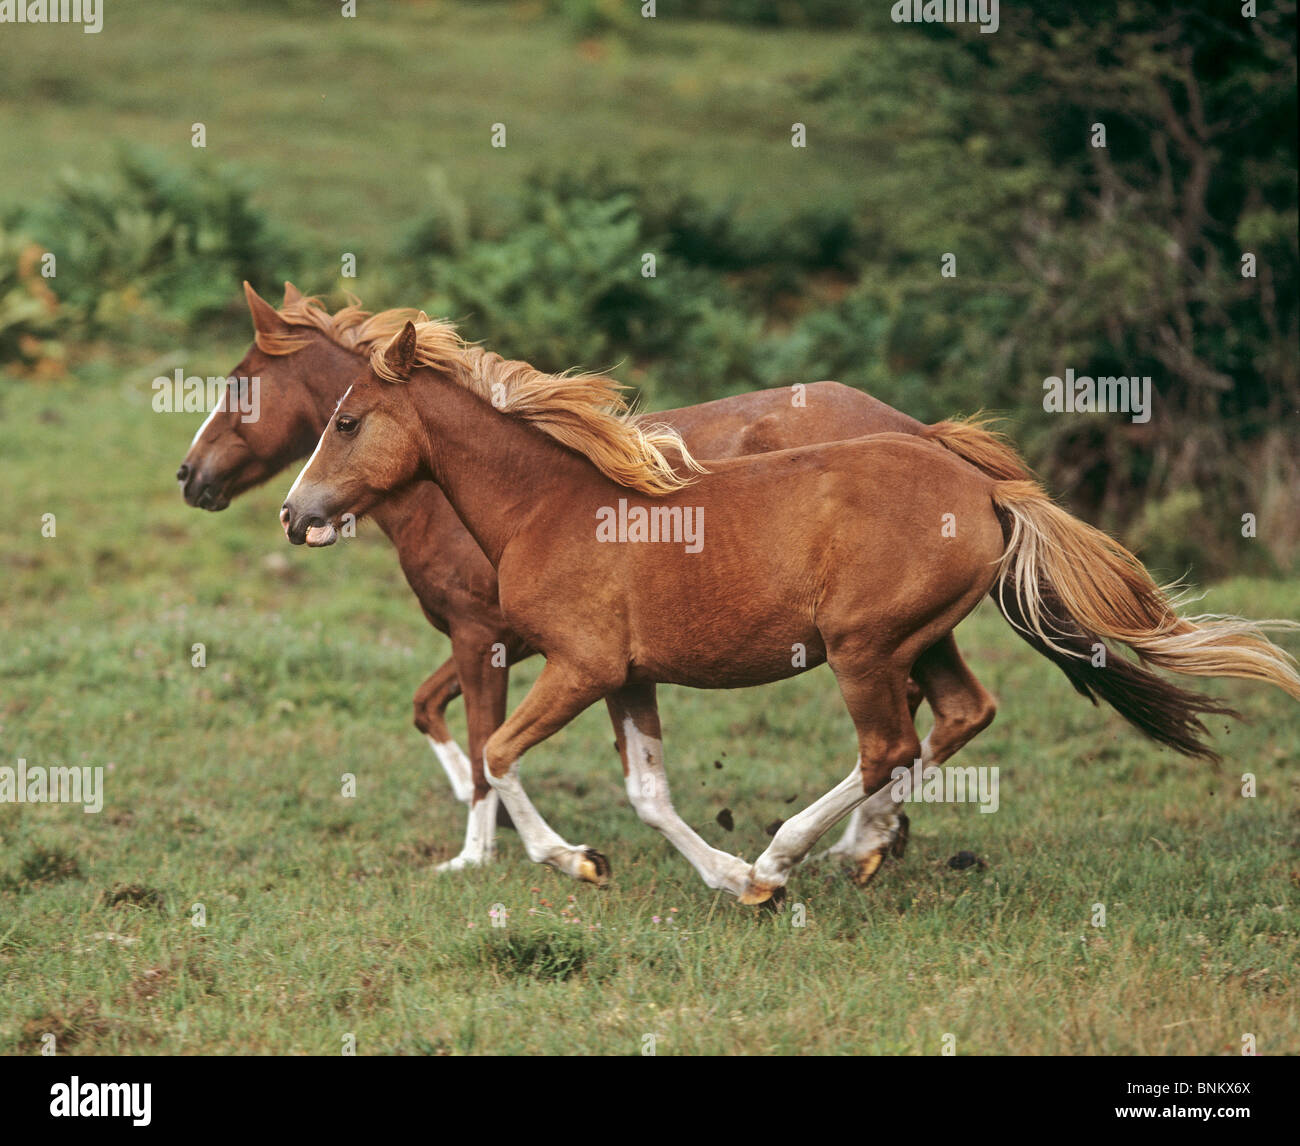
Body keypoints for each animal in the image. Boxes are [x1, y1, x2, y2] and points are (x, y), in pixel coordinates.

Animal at [280, 319, 1300, 904]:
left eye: (347, 421)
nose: (295, 514)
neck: (552, 504)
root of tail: (985, 490)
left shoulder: (578, 667)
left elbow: (495, 753)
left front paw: (582, 861)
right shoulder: (627, 677)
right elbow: (648, 792)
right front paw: (728, 882)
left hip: (861, 648)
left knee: (888, 745)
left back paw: (793, 854)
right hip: (919, 640)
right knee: (958, 715)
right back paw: (854, 850)